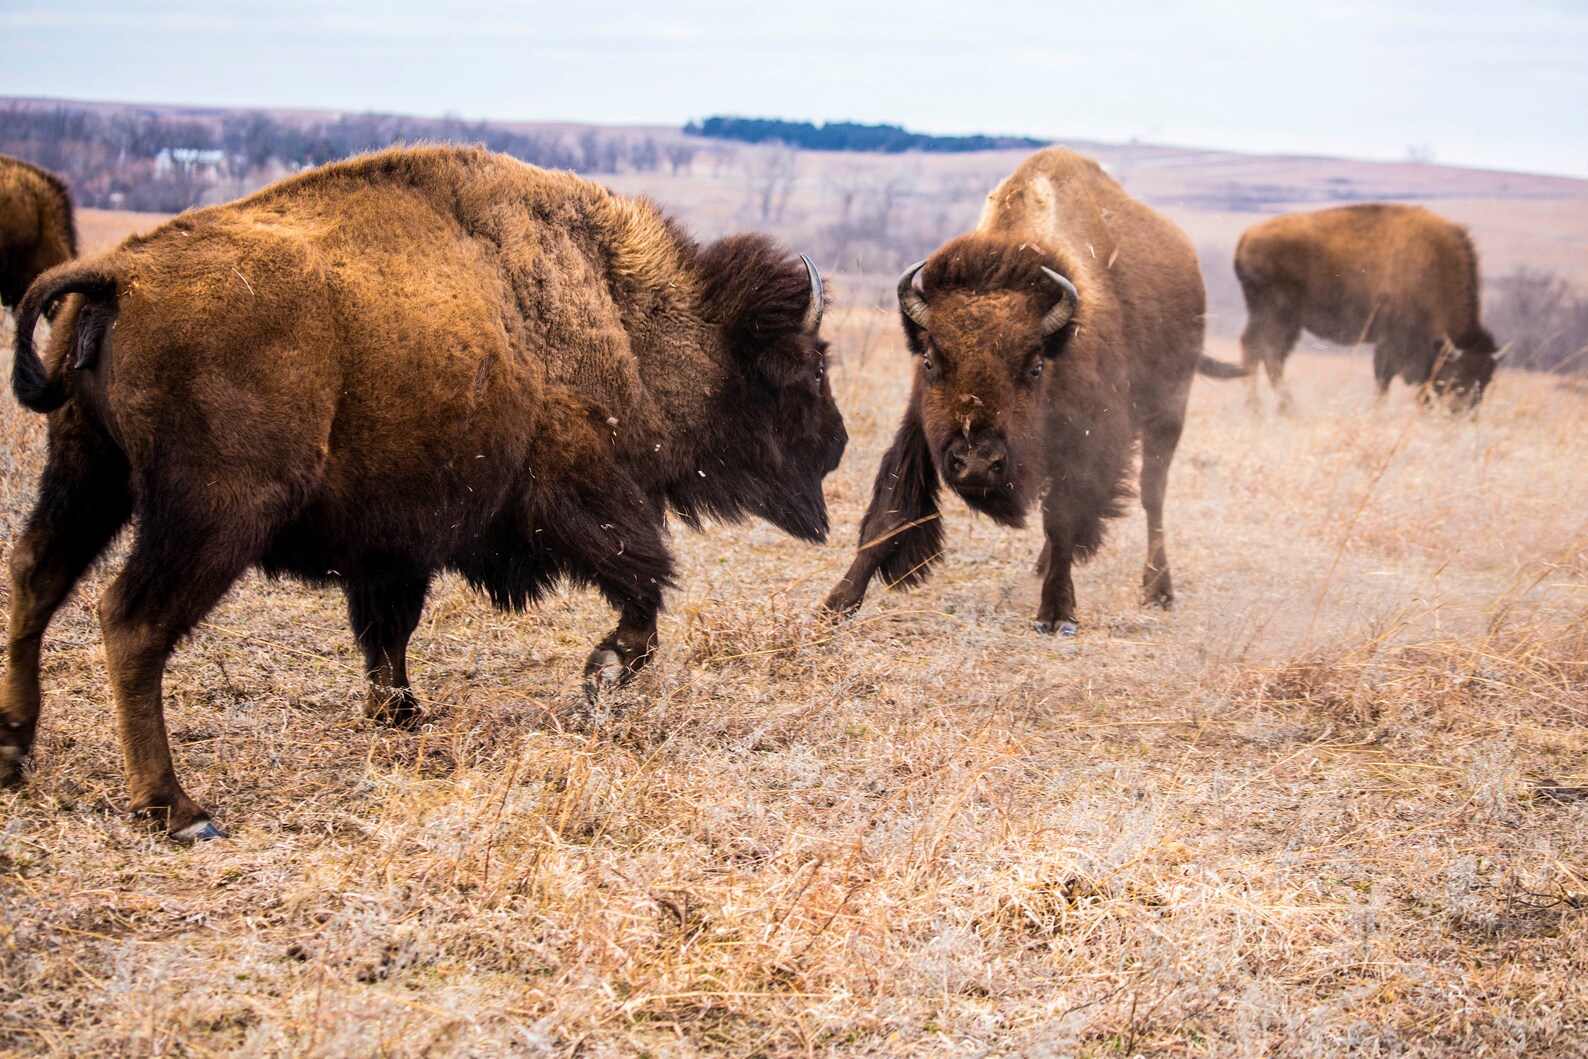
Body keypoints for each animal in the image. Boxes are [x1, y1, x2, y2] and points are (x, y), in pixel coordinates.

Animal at [824, 147, 1246, 634]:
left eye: (1036, 366)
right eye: (929, 360)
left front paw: (1057, 613)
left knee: (1151, 495)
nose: (976, 462)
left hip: (1168, 413)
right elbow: (888, 517)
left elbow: (1062, 520)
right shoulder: (917, 428)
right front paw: (835, 605)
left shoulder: (1082, 445)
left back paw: (1158, 589)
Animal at [1235, 203, 1501, 410]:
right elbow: (1385, 380)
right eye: (1458, 375)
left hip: (1286, 321)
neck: (1432, 265)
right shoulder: (1393, 341)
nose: (1465, 413)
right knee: (1262, 350)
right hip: (1276, 314)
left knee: (1268, 354)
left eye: (1488, 378)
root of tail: (1246, 238)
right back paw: (1266, 408)